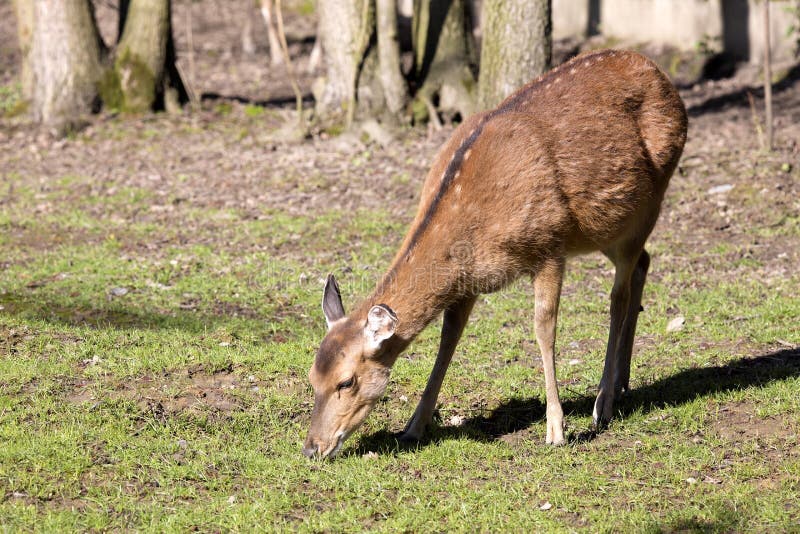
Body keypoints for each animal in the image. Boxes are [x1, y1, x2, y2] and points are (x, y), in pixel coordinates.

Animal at [303, 49, 688, 459]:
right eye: (312, 376)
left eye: (346, 382)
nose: (311, 449)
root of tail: (662, 74)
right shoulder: (466, 282)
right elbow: (448, 341)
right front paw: (414, 426)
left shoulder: (549, 247)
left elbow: (544, 330)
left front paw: (556, 429)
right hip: (606, 226)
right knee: (643, 263)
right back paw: (622, 382)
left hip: (650, 200)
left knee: (619, 295)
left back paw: (603, 403)